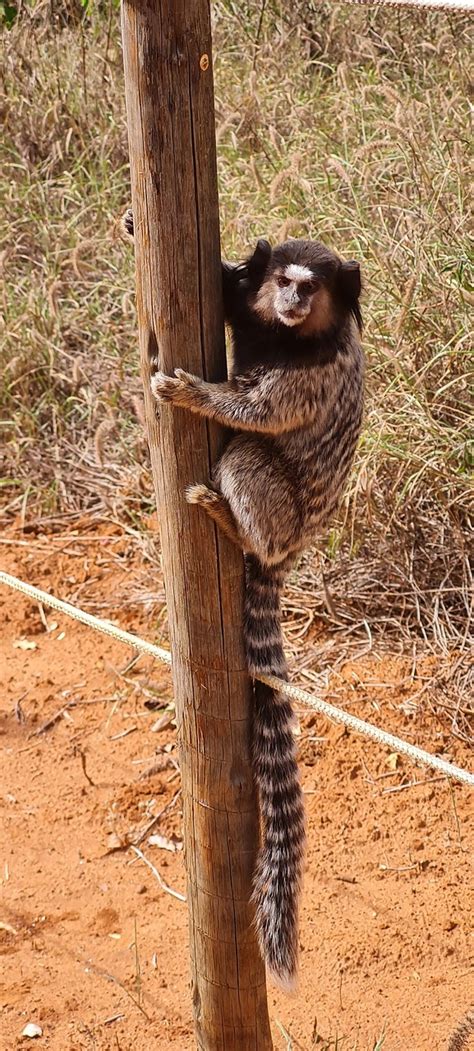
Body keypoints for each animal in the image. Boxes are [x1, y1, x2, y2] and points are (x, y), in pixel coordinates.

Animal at [122, 208, 364, 988]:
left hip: (280, 517)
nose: (289, 299)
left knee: (249, 455)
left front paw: (195, 396)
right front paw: (132, 223)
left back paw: (230, 520)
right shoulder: (248, 309)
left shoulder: (310, 374)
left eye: (311, 289)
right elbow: (229, 292)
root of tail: (286, 554)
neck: (289, 334)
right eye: (282, 279)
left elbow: (260, 414)